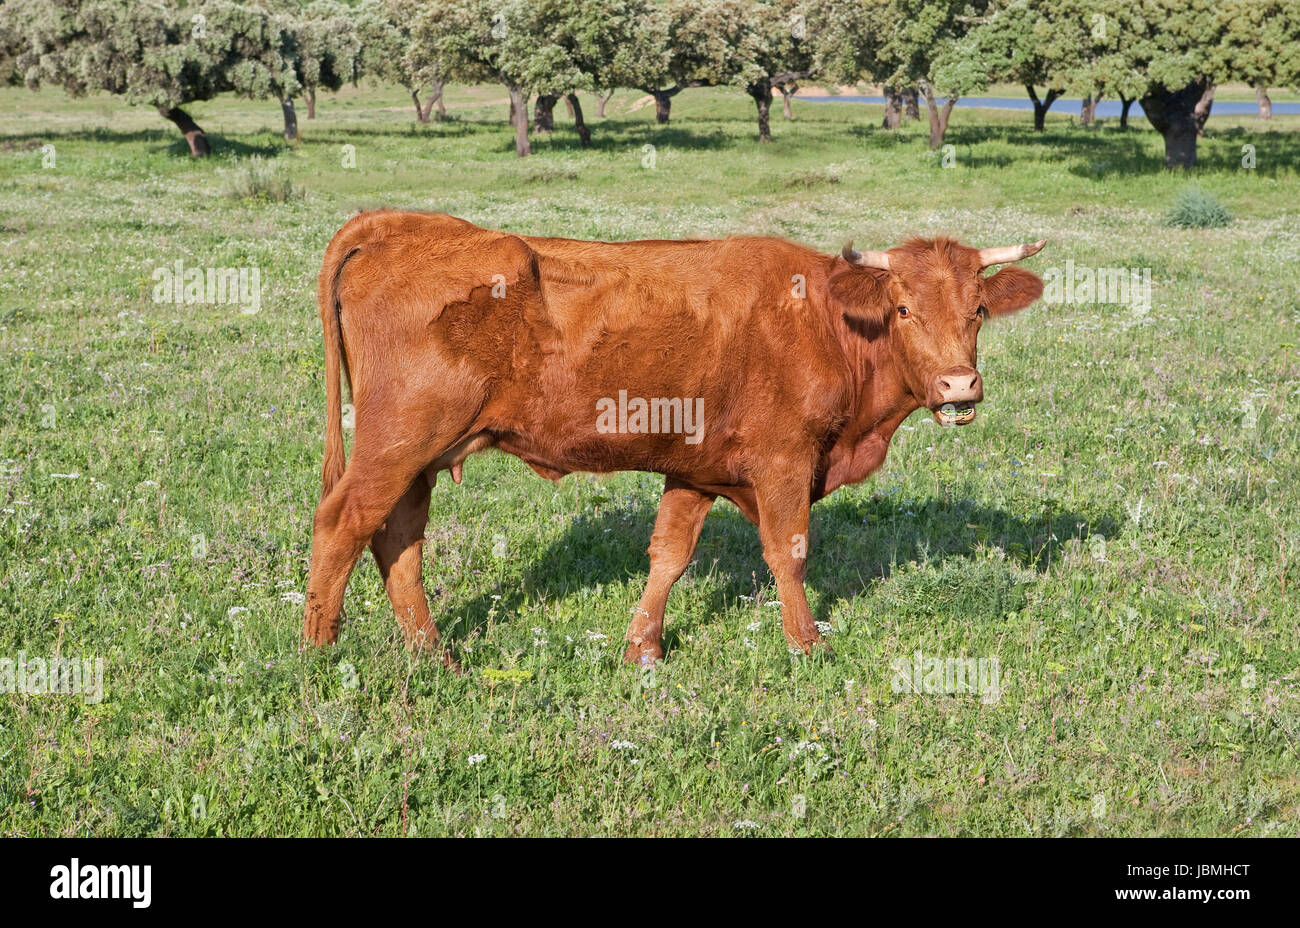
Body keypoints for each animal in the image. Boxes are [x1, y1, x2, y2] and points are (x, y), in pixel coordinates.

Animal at [301, 211, 1045, 657]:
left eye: (979, 310)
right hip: (398, 442)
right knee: (343, 524)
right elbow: (789, 554)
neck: (825, 322)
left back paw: (433, 655)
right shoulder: (784, 460)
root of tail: (401, 223)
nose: (958, 385)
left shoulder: (694, 469)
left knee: (397, 539)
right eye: (904, 309)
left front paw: (644, 647)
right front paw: (806, 643)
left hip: (419, 456)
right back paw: (320, 650)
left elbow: (668, 556)